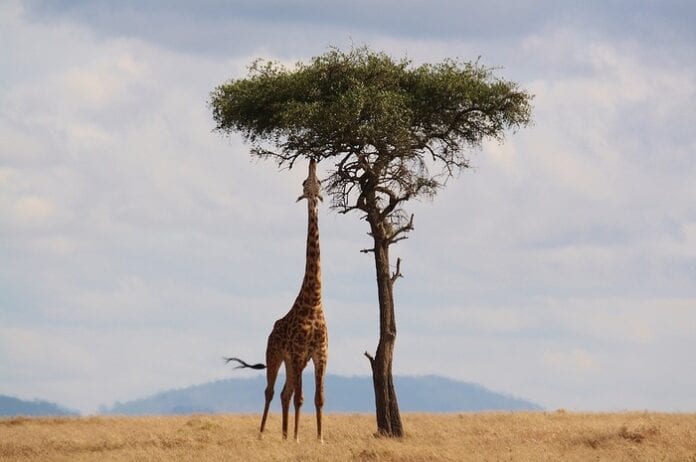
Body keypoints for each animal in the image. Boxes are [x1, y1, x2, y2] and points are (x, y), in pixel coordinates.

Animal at [226, 159, 328, 443]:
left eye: (318, 182)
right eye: (305, 183)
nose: (312, 160)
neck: (314, 301)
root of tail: (271, 330)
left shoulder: (320, 354)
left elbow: (319, 398)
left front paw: (319, 438)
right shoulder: (299, 352)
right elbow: (301, 398)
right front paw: (297, 438)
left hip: (293, 362)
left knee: (285, 392)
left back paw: (283, 435)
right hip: (274, 355)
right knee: (271, 391)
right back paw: (264, 433)